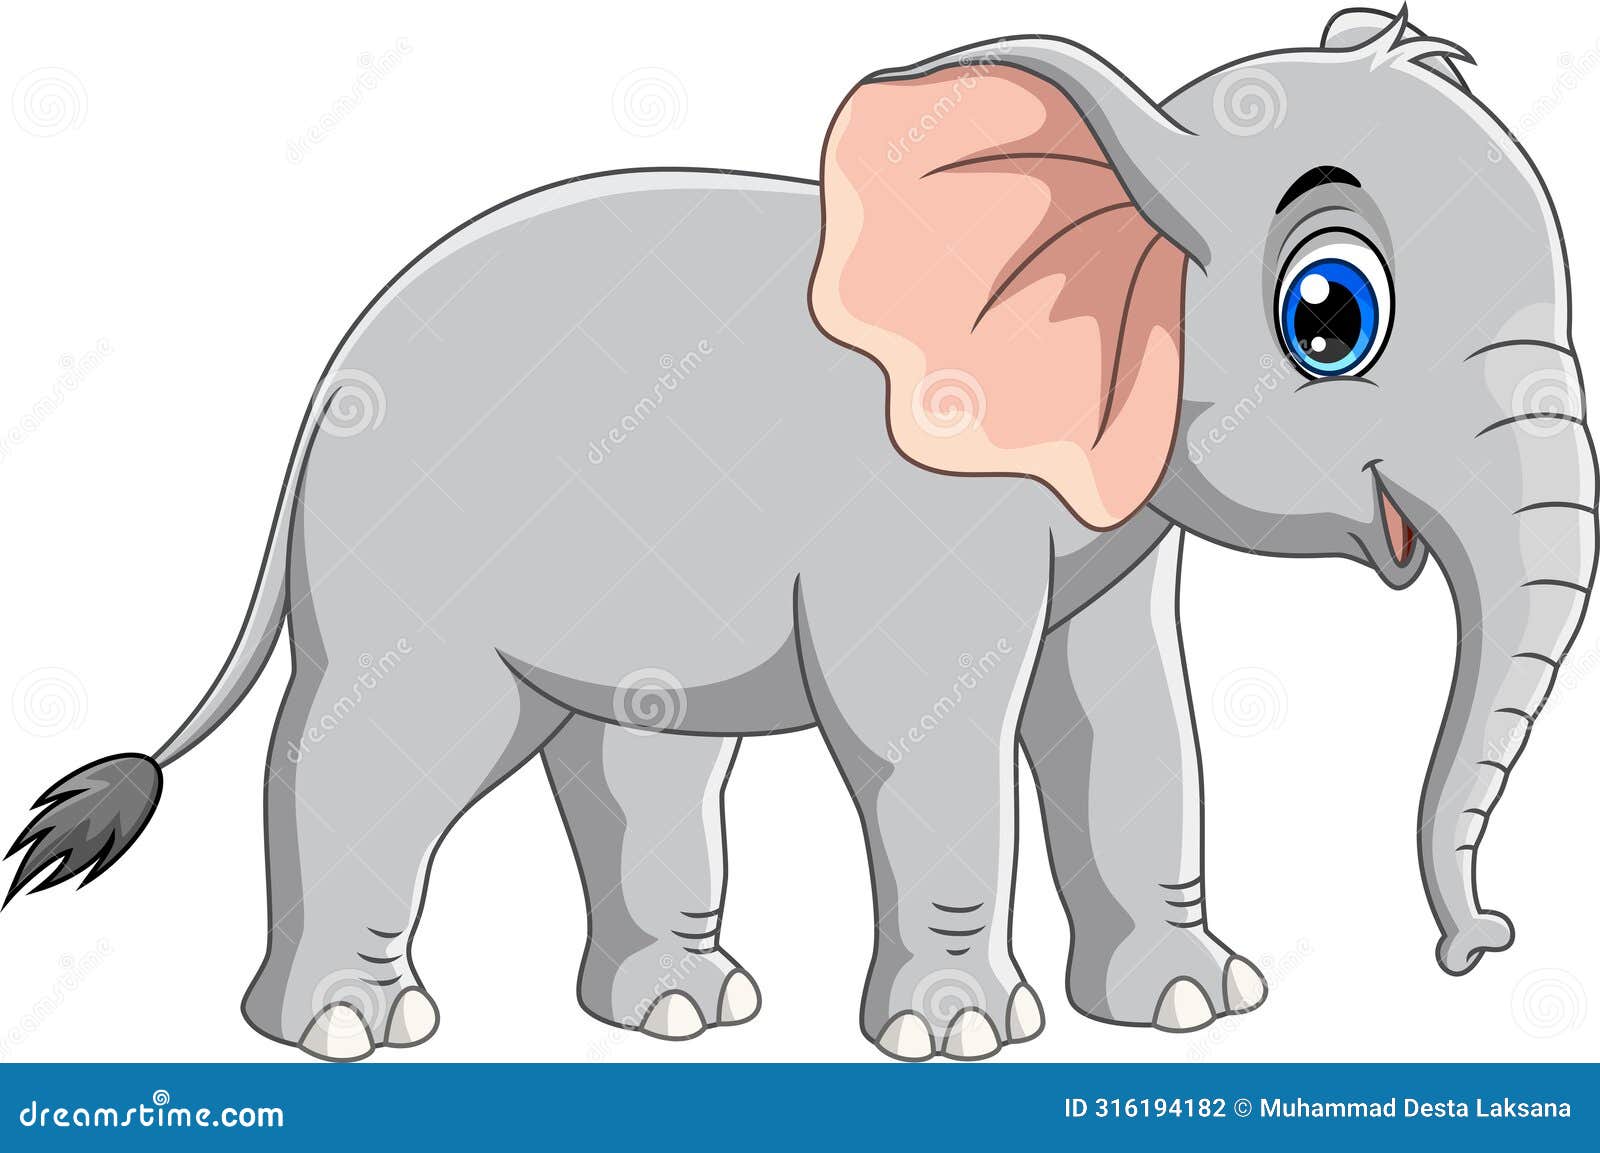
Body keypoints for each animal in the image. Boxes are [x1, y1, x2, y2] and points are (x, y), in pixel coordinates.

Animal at [8, 8, 1591, 1063]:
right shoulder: (919, 498)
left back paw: (680, 1013)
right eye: (1329, 317)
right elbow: (929, 728)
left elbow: (1126, 718)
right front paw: (974, 1039)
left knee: (633, 756)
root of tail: (321, 388)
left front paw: (1197, 1007)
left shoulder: (1117, 515)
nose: (1483, 946)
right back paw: (349, 1032)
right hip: (411, 555)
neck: (1136, 133)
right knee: (385, 740)